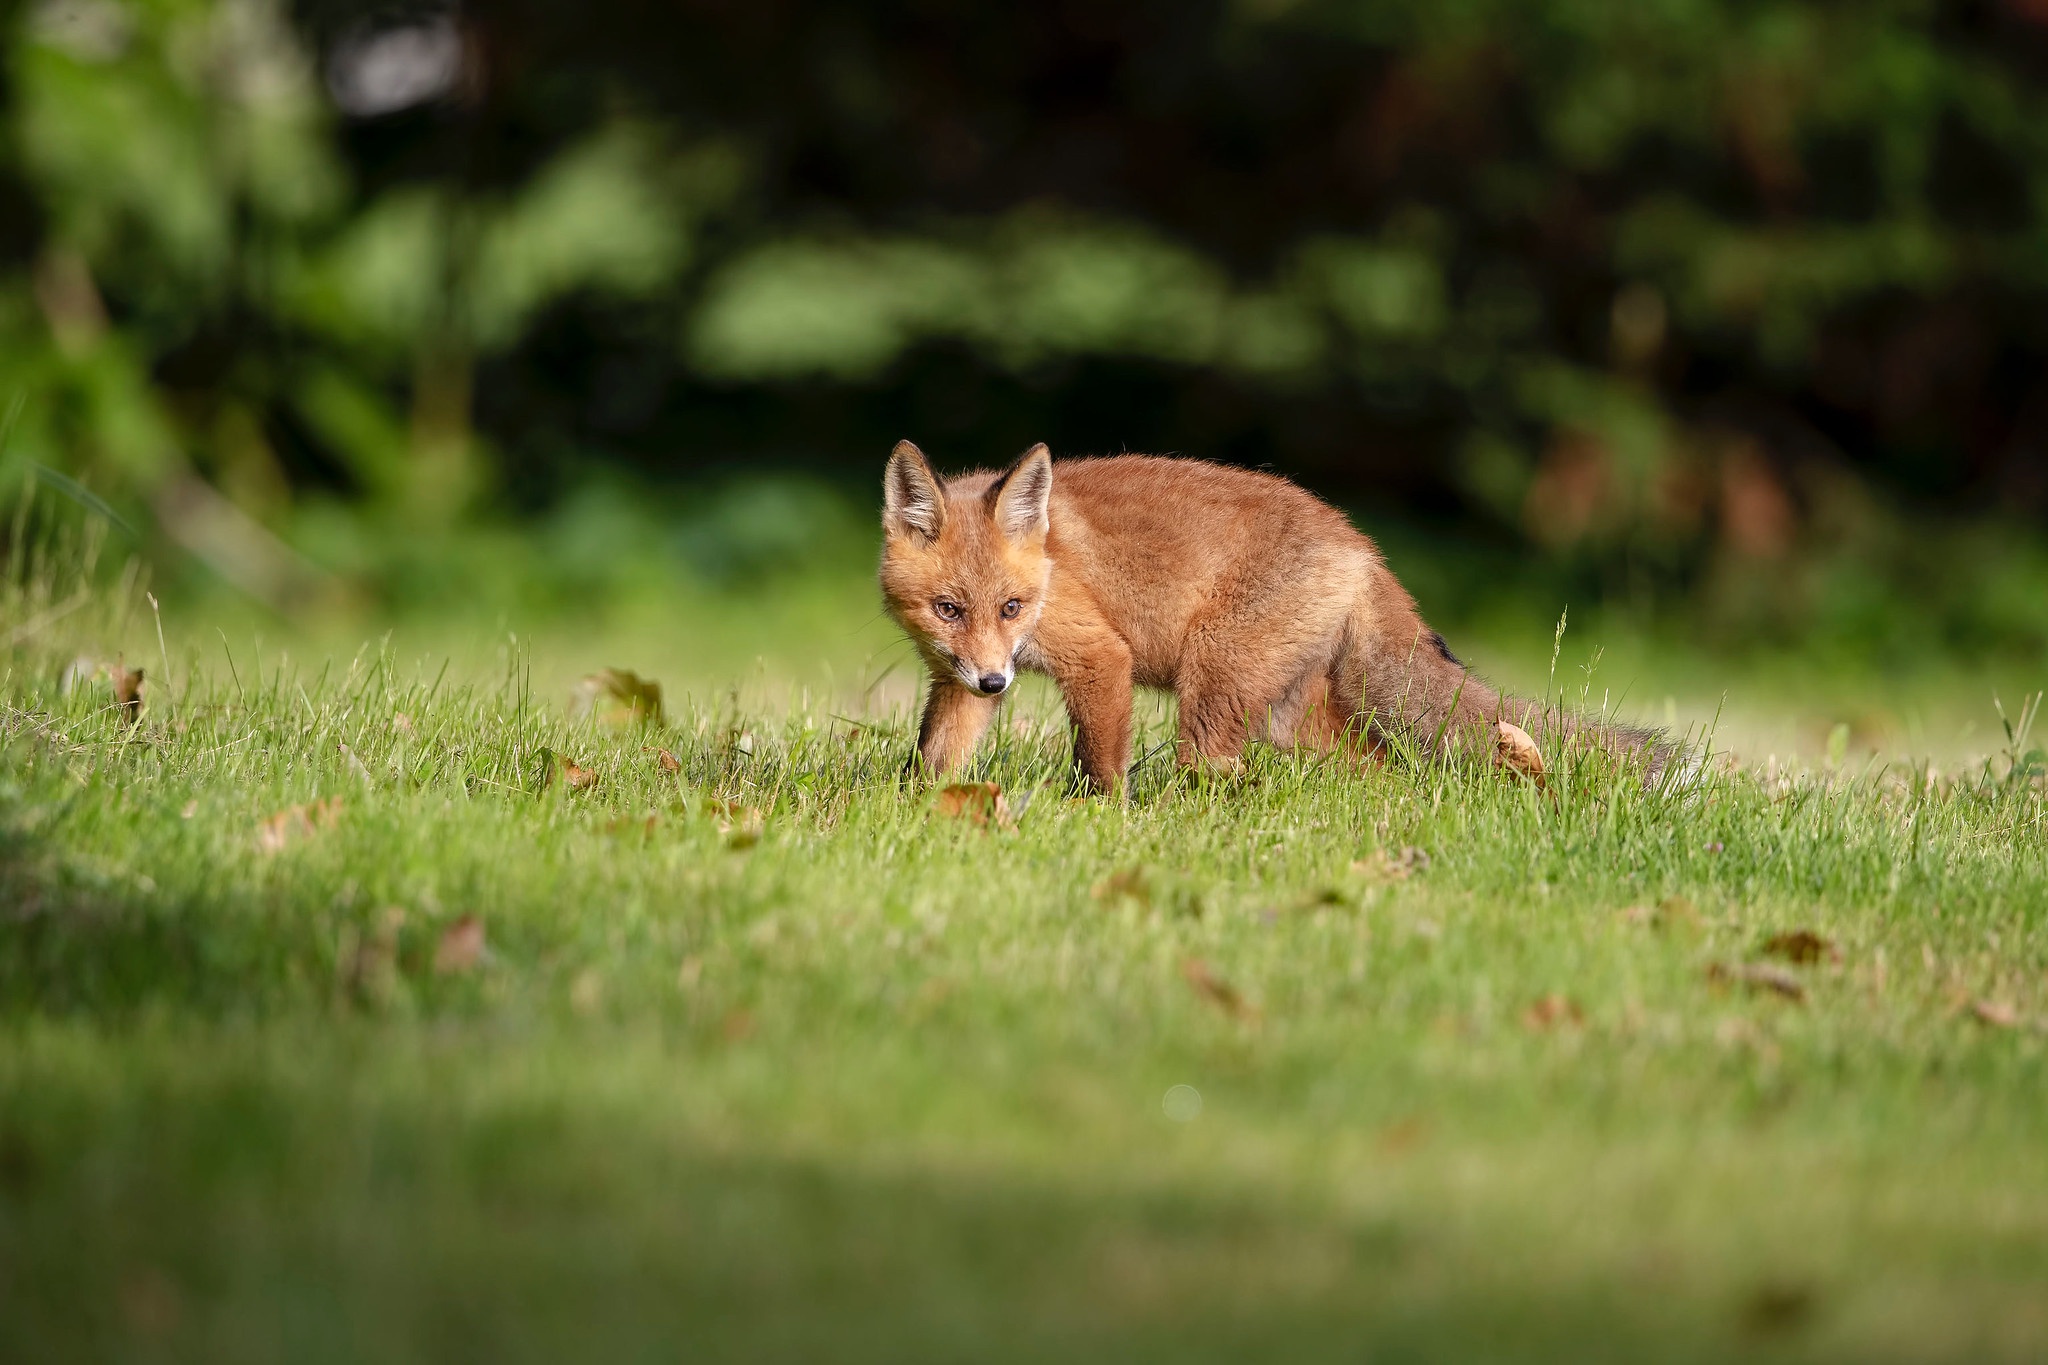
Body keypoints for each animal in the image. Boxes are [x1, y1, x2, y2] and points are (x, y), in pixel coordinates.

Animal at [879, 440, 1659, 792]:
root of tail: (1361, 546)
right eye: (948, 609)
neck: (1048, 569)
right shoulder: (958, 678)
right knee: (1375, 767)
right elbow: (936, 756)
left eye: (1012, 607)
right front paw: (921, 809)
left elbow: (1101, 767)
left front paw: (1101, 821)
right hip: (1291, 718)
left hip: (1213, 684)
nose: (995, 685)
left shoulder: (1100, 657)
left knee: (1211, 771)